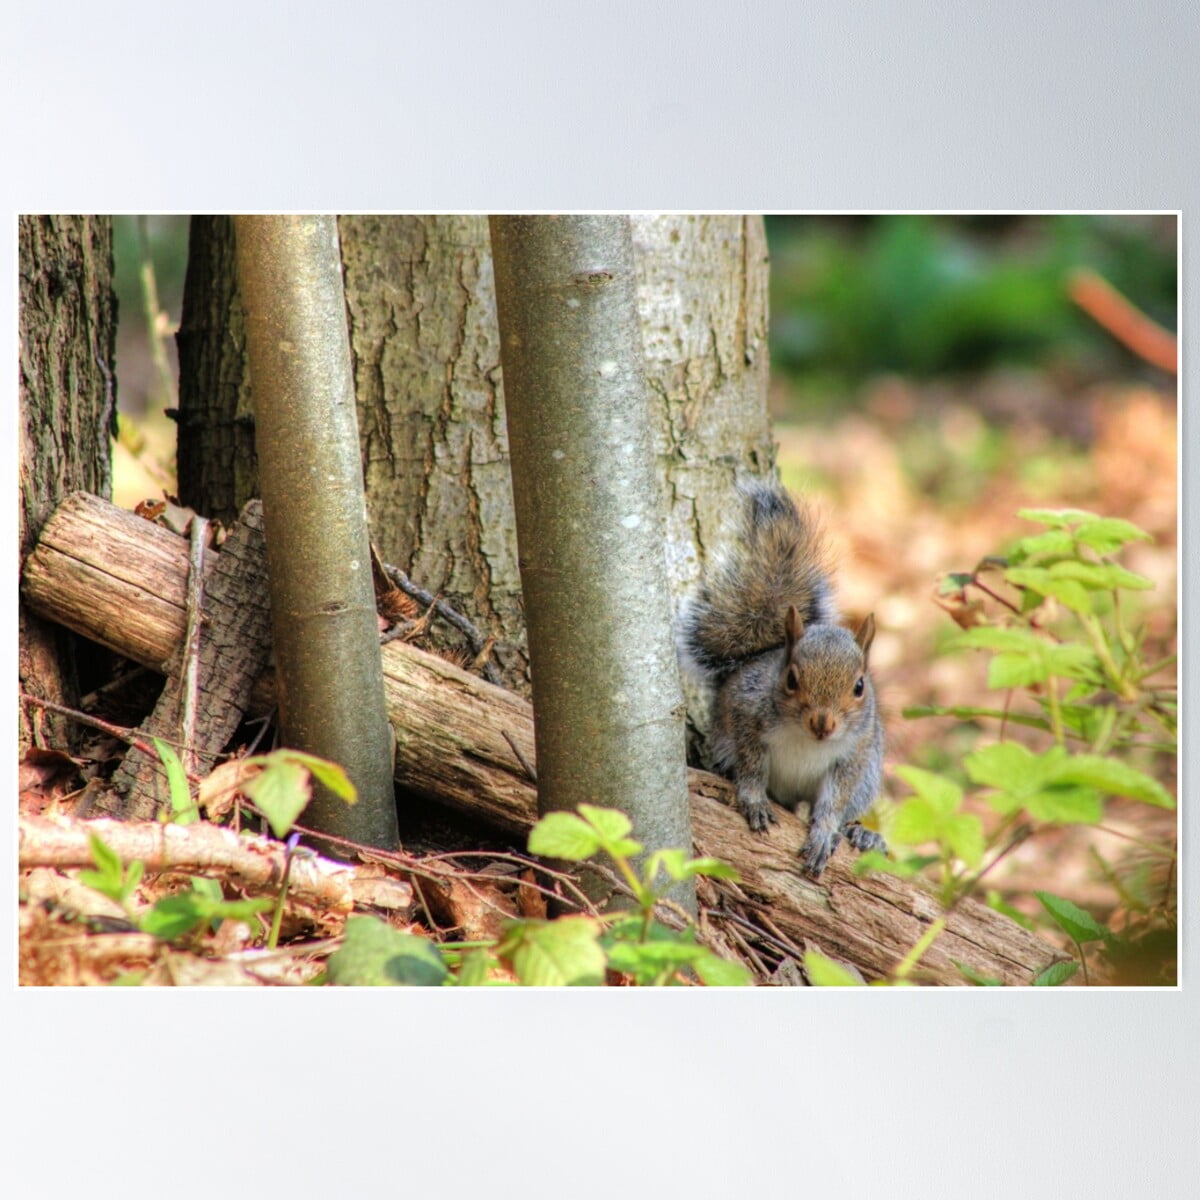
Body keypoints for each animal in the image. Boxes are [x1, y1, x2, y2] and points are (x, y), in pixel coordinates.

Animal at [679, 480, 886, 877]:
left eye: (859, 686)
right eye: (791, 680)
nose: (823, 723)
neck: (808, 739)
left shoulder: (855, 752)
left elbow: (835, 801)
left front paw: (824, 833)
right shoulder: (747, 715)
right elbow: (750, 767)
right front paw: (754, 800)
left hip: (869, 775)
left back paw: (863, 835)